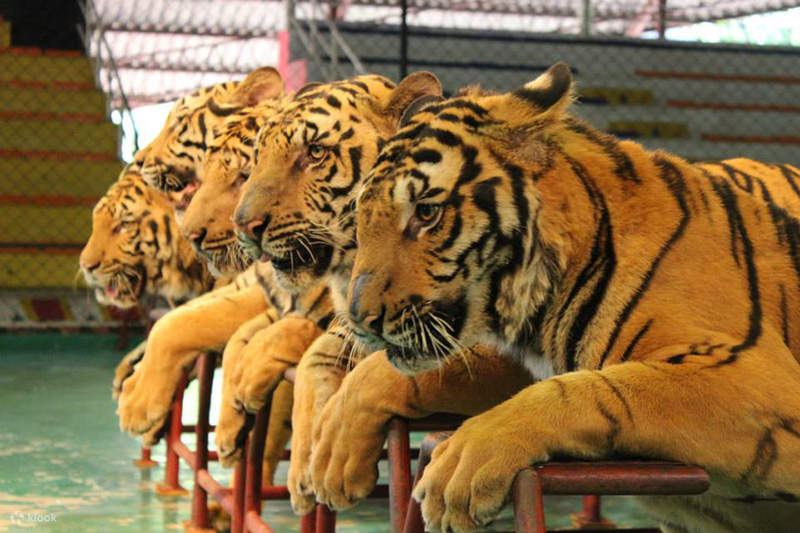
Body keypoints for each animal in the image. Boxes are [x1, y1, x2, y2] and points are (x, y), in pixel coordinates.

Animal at [231, 73, 531, 514]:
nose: (242, 225)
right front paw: (303, 472)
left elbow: (384, 372)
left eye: (315, 152)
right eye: (258, 156)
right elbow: (314, 359)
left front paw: (333, 464)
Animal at [345, 62, 800, 532]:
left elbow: (594, 388)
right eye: (361, 214)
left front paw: (461, 464)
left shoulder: (756, 377)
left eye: (426, 213)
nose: (358, 318)